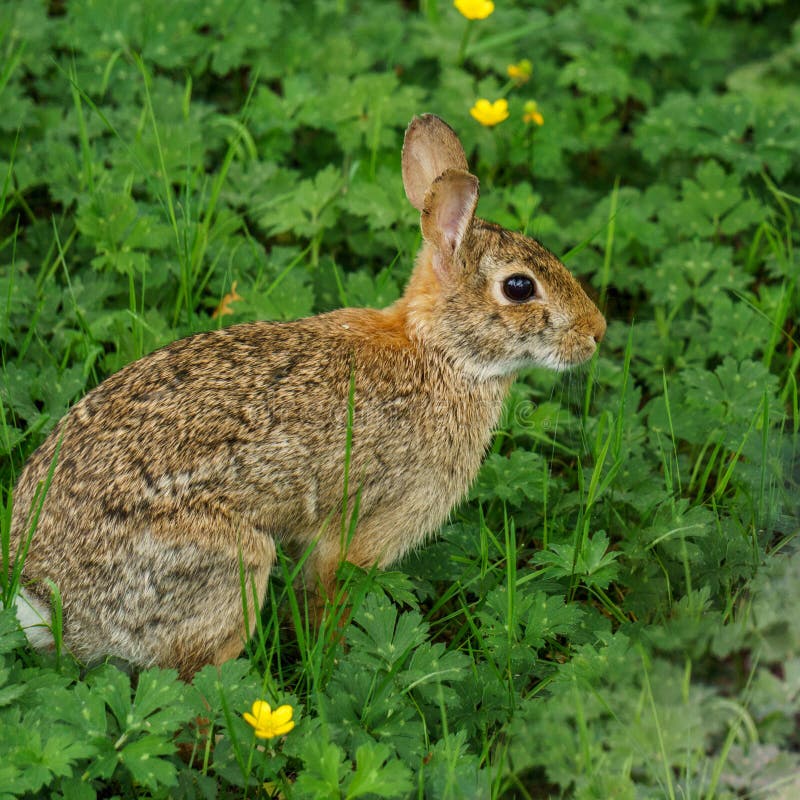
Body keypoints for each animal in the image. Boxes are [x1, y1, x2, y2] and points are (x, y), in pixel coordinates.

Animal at [8, 114, 606, 680]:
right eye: (519, 287)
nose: (597, 332)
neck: (440, 351)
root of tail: (48, 607)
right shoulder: (361, 534)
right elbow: (331, 604)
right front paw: (336, 663)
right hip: (228, 568)